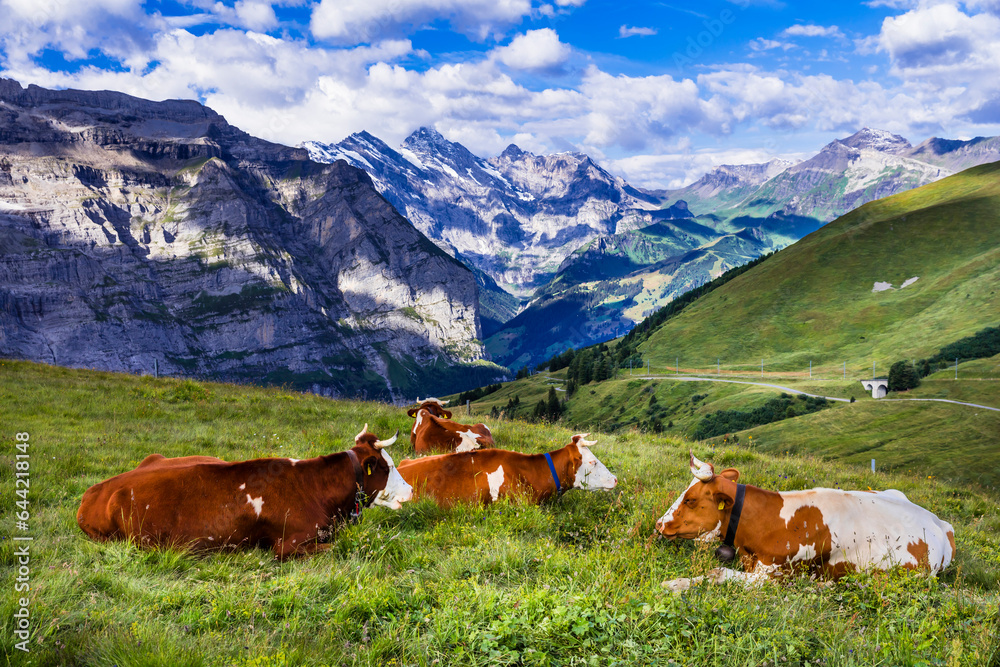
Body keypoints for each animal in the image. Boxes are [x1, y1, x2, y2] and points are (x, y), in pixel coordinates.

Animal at [655, 453, 956, 590]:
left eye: (690, 500)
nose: (659, 524)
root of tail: (940, 523)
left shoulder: (772, 575)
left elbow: (716, 574)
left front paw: (674, 584)